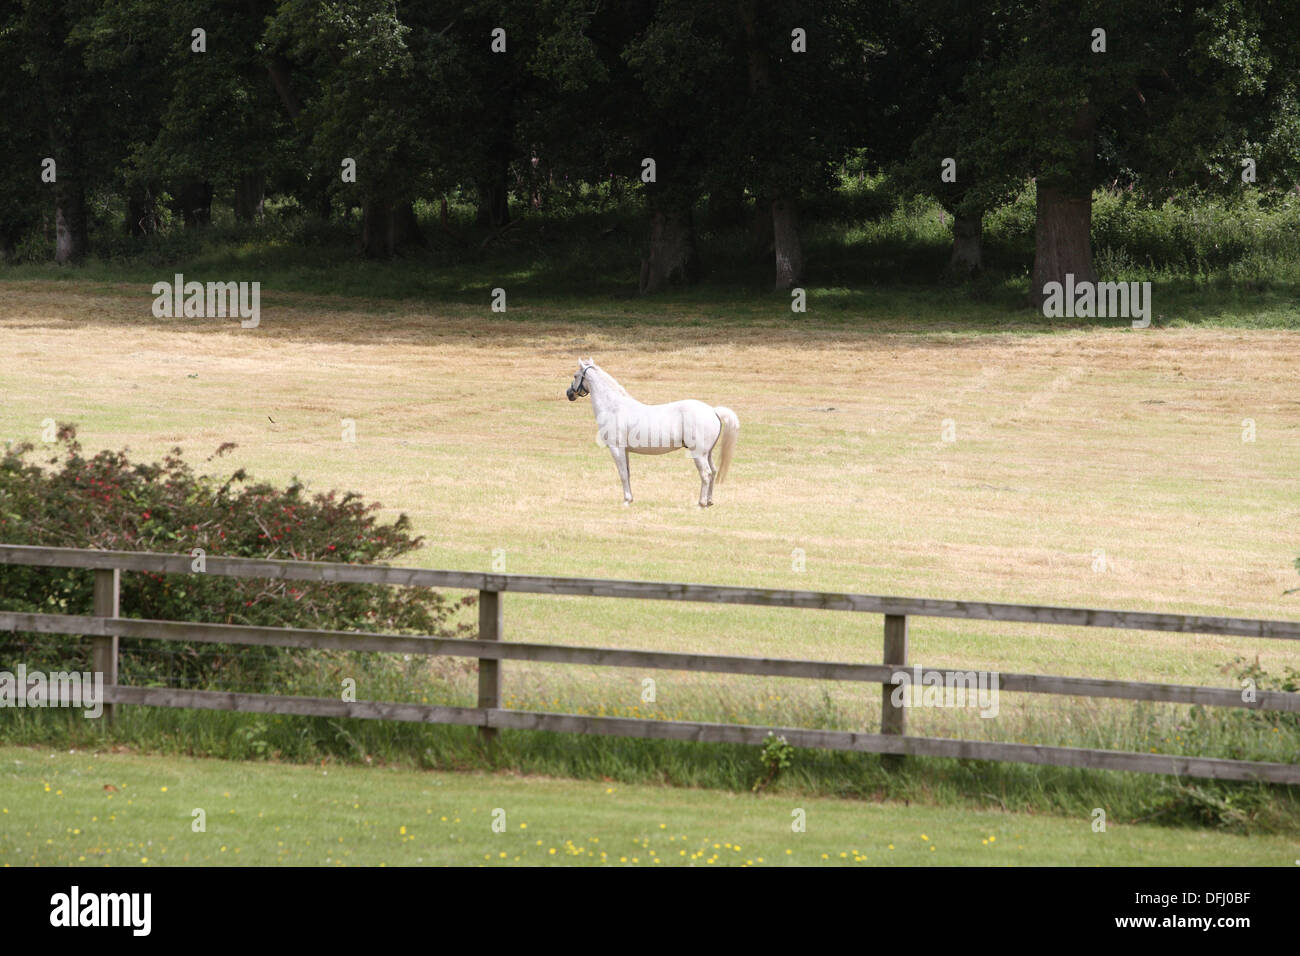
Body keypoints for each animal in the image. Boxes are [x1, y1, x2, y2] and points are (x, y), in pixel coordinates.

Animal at [566, 358, 739, 507]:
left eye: (575, 375)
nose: (569, 393)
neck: (613, 407)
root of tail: (713, 411)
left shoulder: (616, 448)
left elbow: (622, 474)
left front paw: (626, 501)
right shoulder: (625, 450)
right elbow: (627, 473)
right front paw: (630, 499)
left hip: (698, 453)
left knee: (706, 474)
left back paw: (701, 503)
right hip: (707, 453)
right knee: (714, 472)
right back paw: (709, 501)